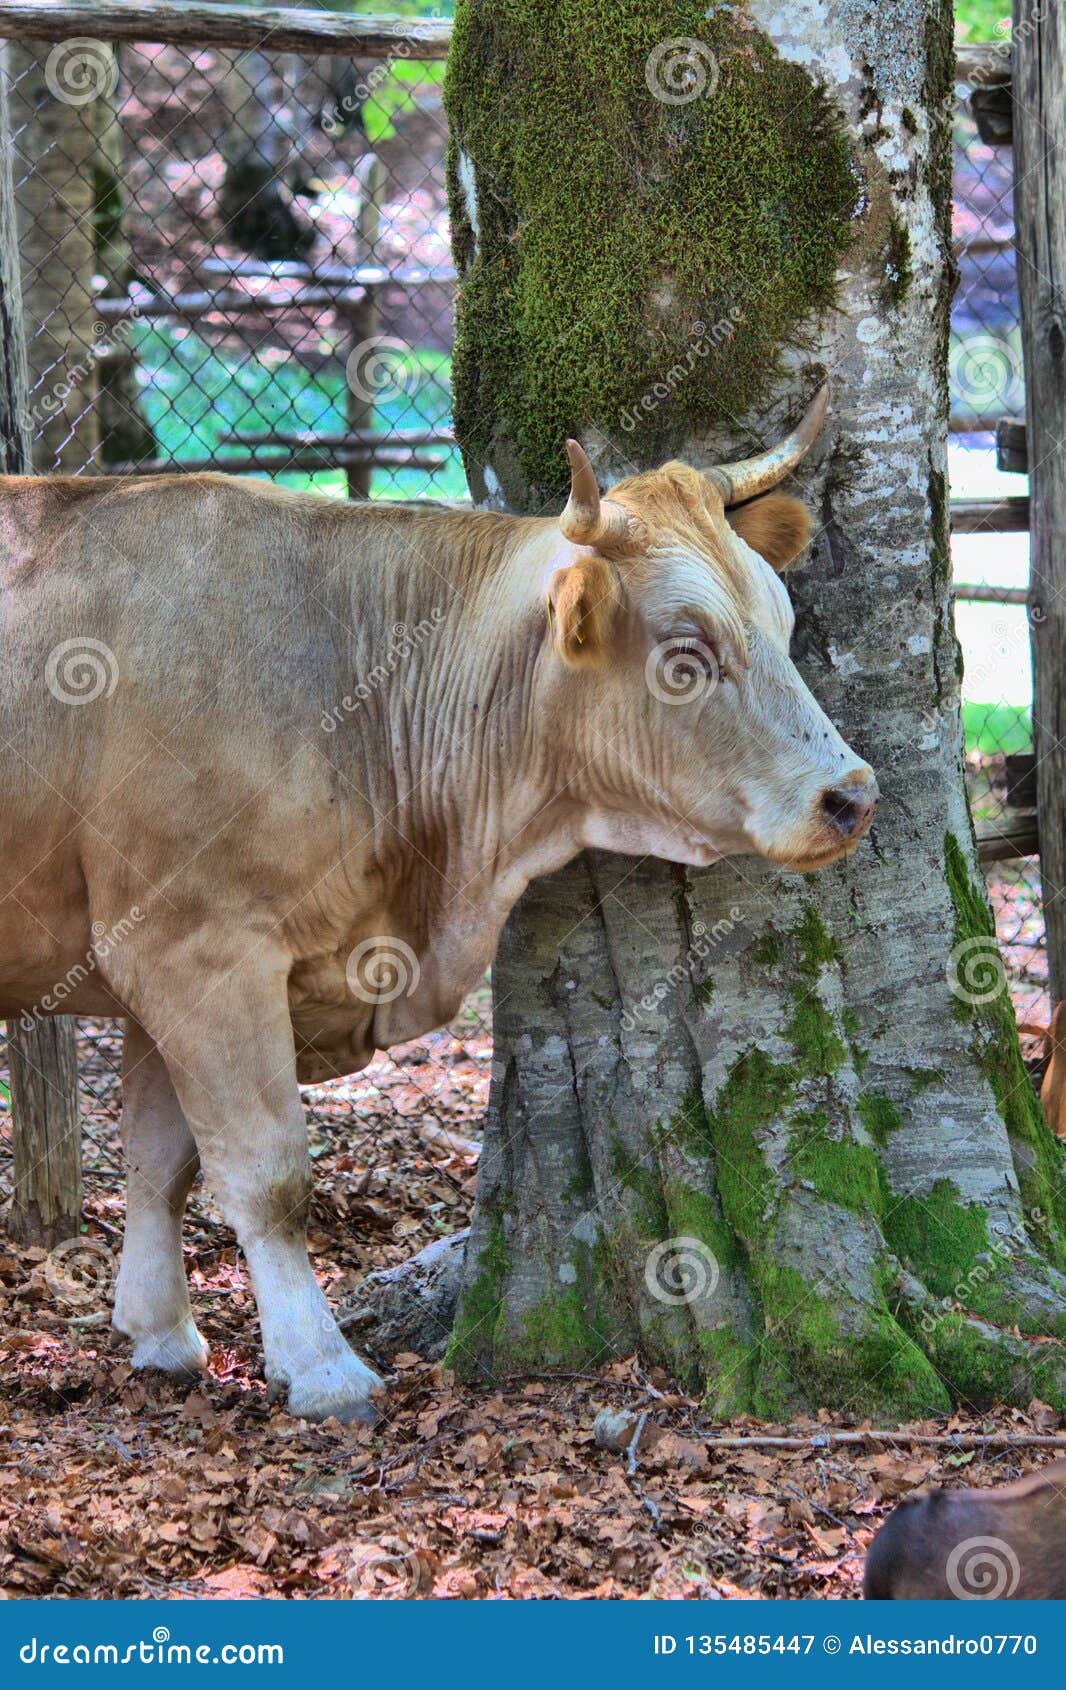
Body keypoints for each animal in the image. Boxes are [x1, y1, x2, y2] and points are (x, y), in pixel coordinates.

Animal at [0, 385, 876, 1423]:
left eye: (781, 621)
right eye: (687, 654)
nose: (851, 794)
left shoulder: (155, 964)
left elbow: (159, 1162)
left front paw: (160, 1331)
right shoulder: (196, 949)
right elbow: (266, 1174)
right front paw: (320, 1365)